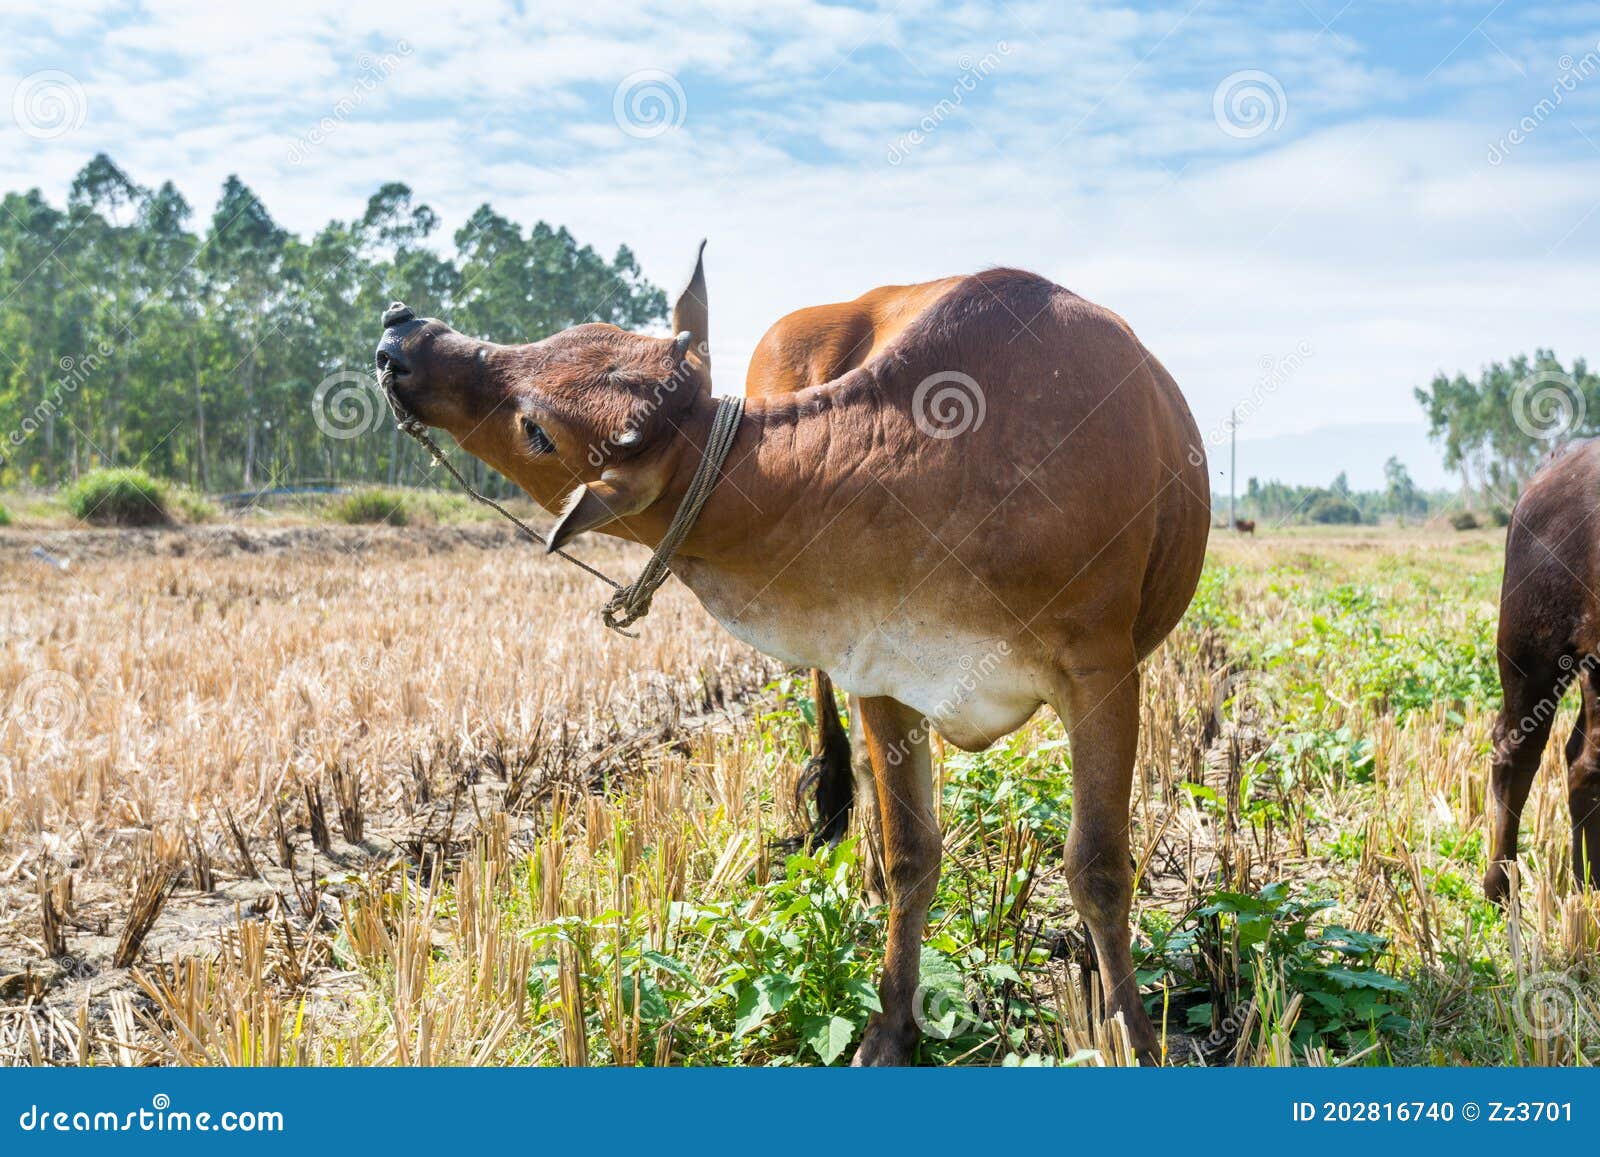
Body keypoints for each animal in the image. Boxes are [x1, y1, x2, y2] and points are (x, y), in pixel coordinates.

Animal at [373, 247, 1211, 1064]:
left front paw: (1134, 1034)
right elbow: (913, 853)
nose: (402, 335)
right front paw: (889, 1027)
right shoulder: (881, 669)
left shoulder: (1103, 670)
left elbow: (1097, 866)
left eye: (537, 429)